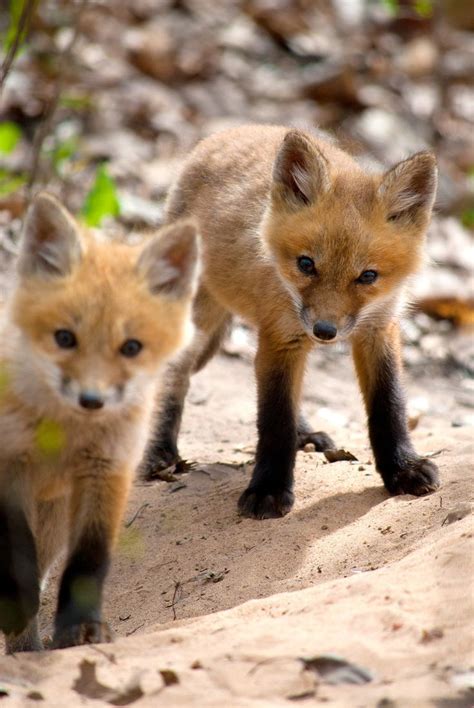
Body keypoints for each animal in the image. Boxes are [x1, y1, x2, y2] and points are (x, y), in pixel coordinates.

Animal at [0, 193, 197, 652]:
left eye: (131, 347)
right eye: (64, 338)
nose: (92, 400)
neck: (65, 433)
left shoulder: (108, 470)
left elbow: (88, 562)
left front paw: (80, 629)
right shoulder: (8, 468)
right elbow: (16, 559)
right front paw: (20, 606)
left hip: (53, 524)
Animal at [142, 124, 440, 519]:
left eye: (368, 276)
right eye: (306, 264)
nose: (325, 332)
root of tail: (228, 131)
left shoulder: (379, 329)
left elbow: (389, 405)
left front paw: (402, 468)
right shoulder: (283, 337)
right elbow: (275, 419)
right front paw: (268, 488)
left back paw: (306, 435)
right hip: (199, 318)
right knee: (174, 377)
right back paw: (160, 451)